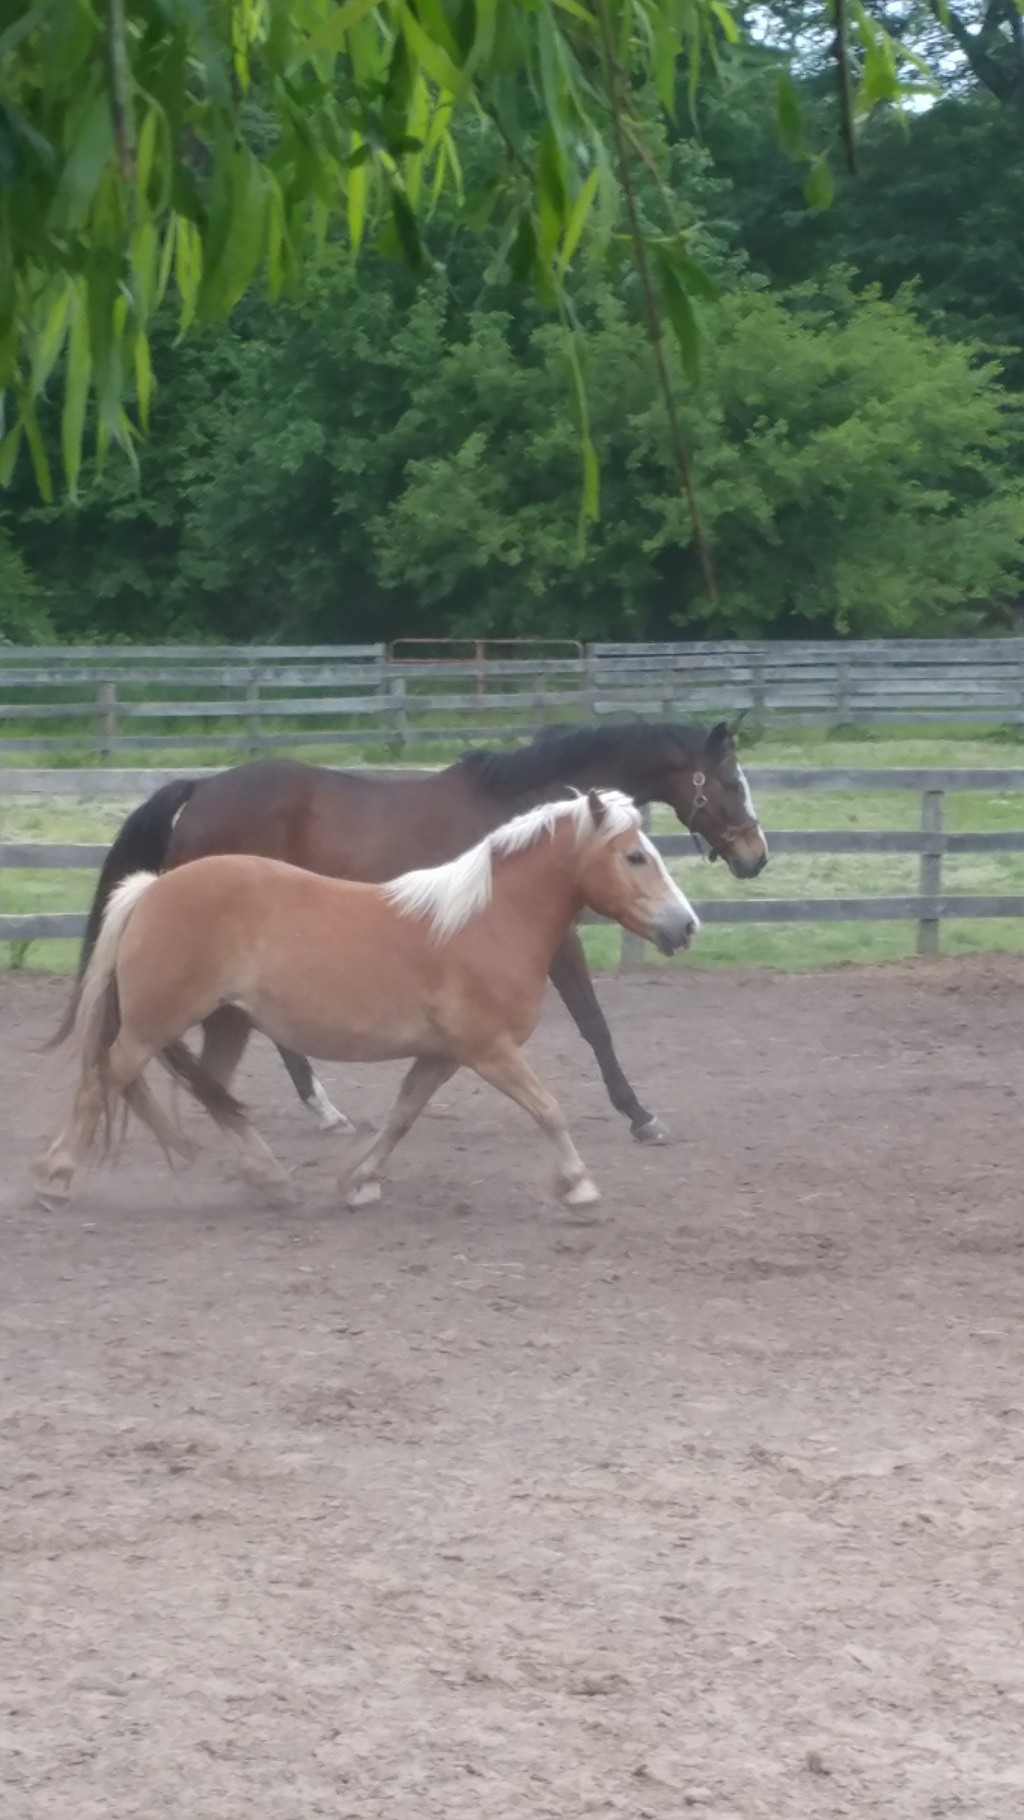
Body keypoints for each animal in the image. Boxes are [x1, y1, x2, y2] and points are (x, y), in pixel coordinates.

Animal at [34, 789, 700, 1213]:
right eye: (636, 856)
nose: (686, 926)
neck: (485, 921)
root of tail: (151, 890)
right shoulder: (490, 1050)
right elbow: (548, 1109)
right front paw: (579, 1185)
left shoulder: (444, 1055)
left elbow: (401, 1116)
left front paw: (358, 1182)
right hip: (152, 1025)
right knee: (102, 1080)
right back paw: (54, 1179)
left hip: (227, 1022)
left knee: (212, 1090)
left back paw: (270, 1178)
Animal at [54, 717, 767, 1145]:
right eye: (732, 782)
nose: (756, 856)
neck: (527, 814)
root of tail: (200, 789)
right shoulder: (554, 939)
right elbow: (595, 1023)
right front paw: (641, 1116)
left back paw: (314, 1108)